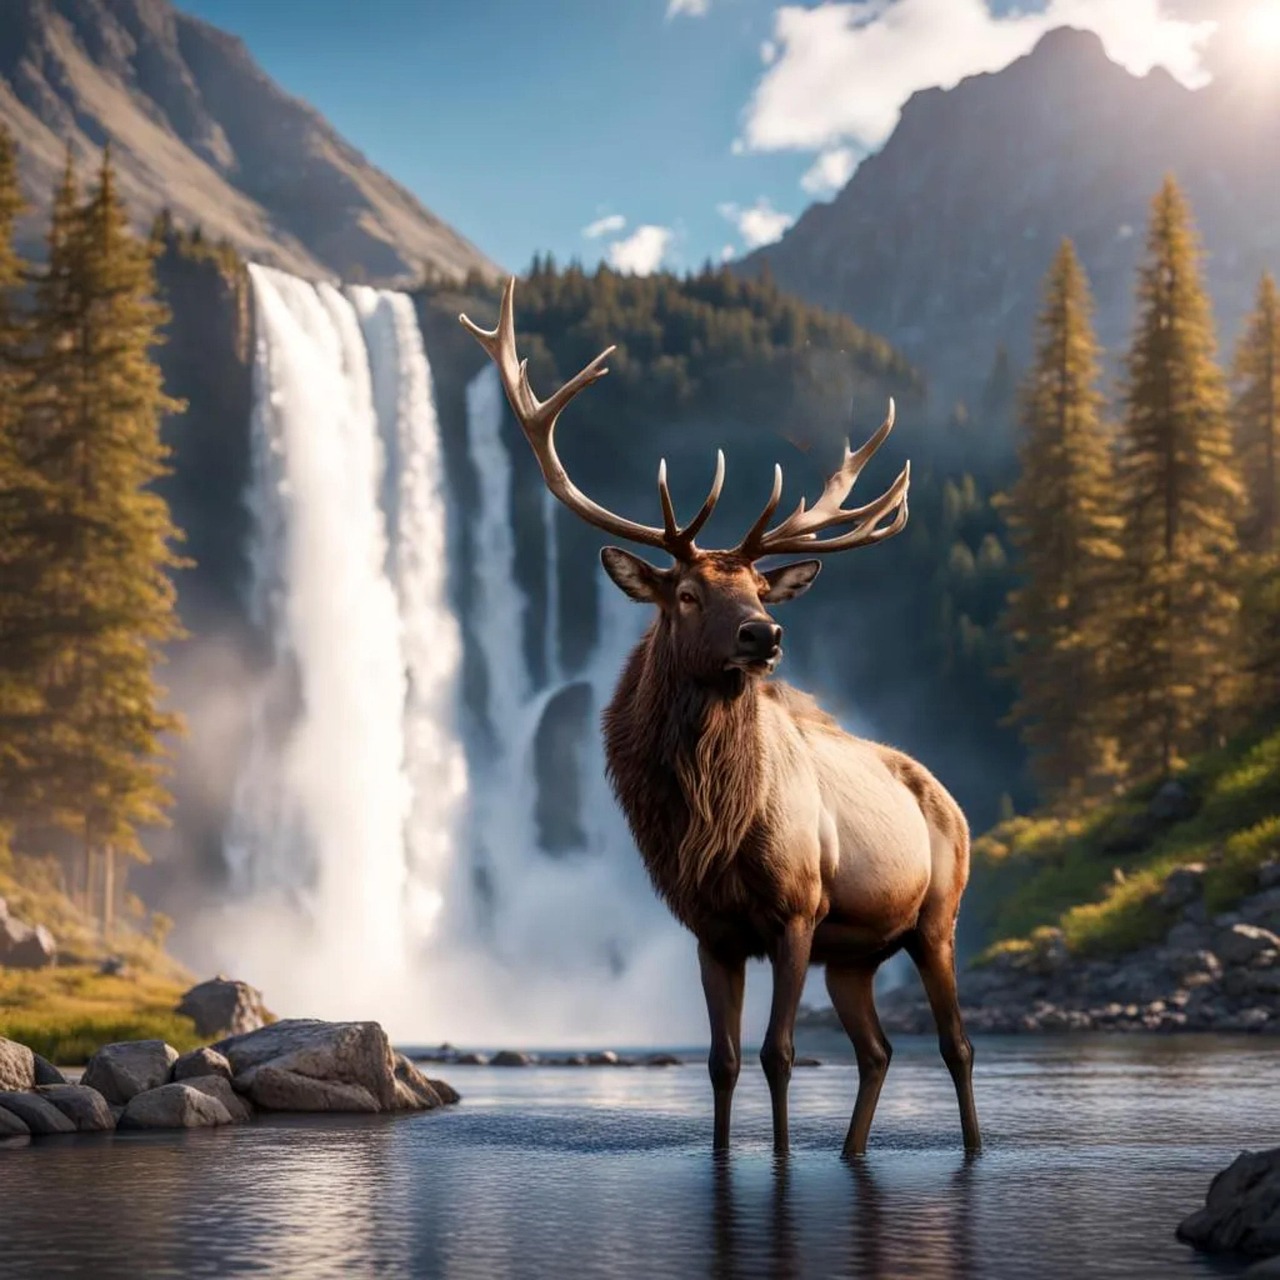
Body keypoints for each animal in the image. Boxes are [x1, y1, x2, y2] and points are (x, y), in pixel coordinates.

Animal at [460, 279, 981, 1159]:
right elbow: (722, 1060)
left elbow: (779, 1053)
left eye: (762, 589)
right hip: (855, 953)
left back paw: (974, 1147)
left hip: (935, 917)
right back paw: (852, 1151)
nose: (764, 635)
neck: (714, 825)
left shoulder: (798, 909)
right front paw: (724, 1154)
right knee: (877, 1050)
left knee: (956, 1044)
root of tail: (948, 794)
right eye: (687, 591)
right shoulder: (708, 928)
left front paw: (779, 1158)